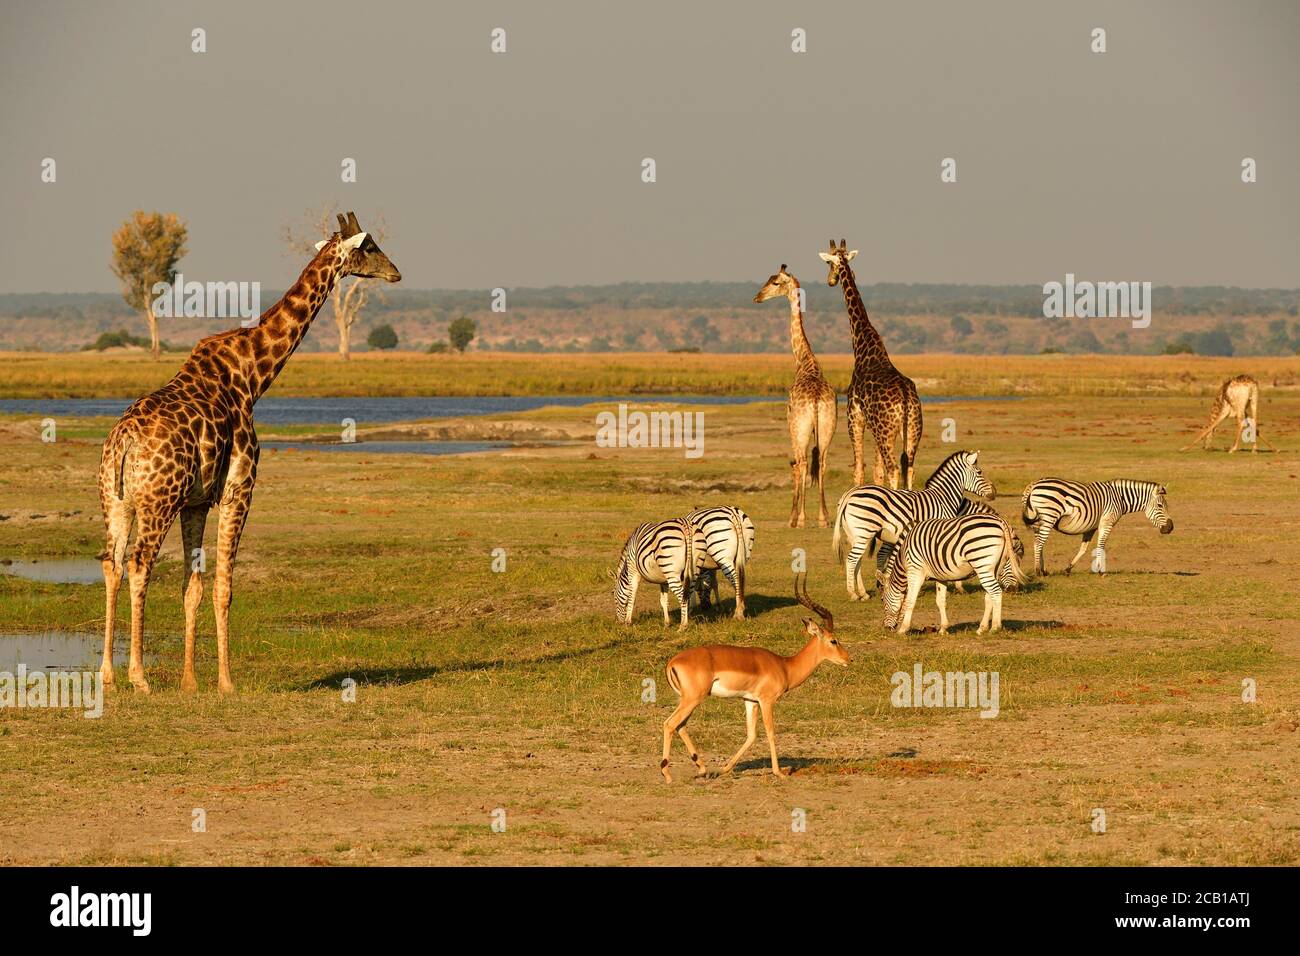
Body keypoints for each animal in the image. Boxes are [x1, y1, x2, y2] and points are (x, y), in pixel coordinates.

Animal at [660, 574, 850, 782]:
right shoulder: (767, 701)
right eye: (834, 640)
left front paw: (724, 769)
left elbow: (751, 735)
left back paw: (702, 768)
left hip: (687, 700)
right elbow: (771, 732)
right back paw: (667, 775)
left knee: (681, 726)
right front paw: (779, 773)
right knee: (670, 724)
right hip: (693, 699)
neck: (785, 666)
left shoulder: (750, 700)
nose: (848, 659)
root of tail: (672, 662)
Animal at [831, 450, 996, 601]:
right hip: (865, 531)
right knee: (852, 560)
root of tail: (850, 494)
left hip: (855, 534)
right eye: (979, 472)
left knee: (857, 561)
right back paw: (853, 594)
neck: (944, 498)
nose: (994, 492)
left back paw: (863, 593)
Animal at [881, 513, 1028, 635]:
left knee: (996, 592)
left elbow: (910, 600)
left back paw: (995, 627)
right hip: (994, 568)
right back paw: (982, 628)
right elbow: (940, 601)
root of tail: (1000, 521)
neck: (903, 557)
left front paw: (903, 629)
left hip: (982, 564)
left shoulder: (915, 571)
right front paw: (943, 629)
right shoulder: (941, 577)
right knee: (989, 596)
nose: (885, 628)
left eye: (882, 600)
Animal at [1020, 478, 1174, 575]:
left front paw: (1068, 569)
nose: (1170, 528)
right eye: (1160, 506)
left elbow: (1083, 549)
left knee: (1039, 543)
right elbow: (1101, 545)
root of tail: (1033, 485)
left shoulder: (1091, 527)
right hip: (1048, 516)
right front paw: (1101, 571)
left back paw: (1043, 570)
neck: (1120, 499)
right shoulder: (1107, 523)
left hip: (1038, 521)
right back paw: (1038, 571)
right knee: (1038, 543)